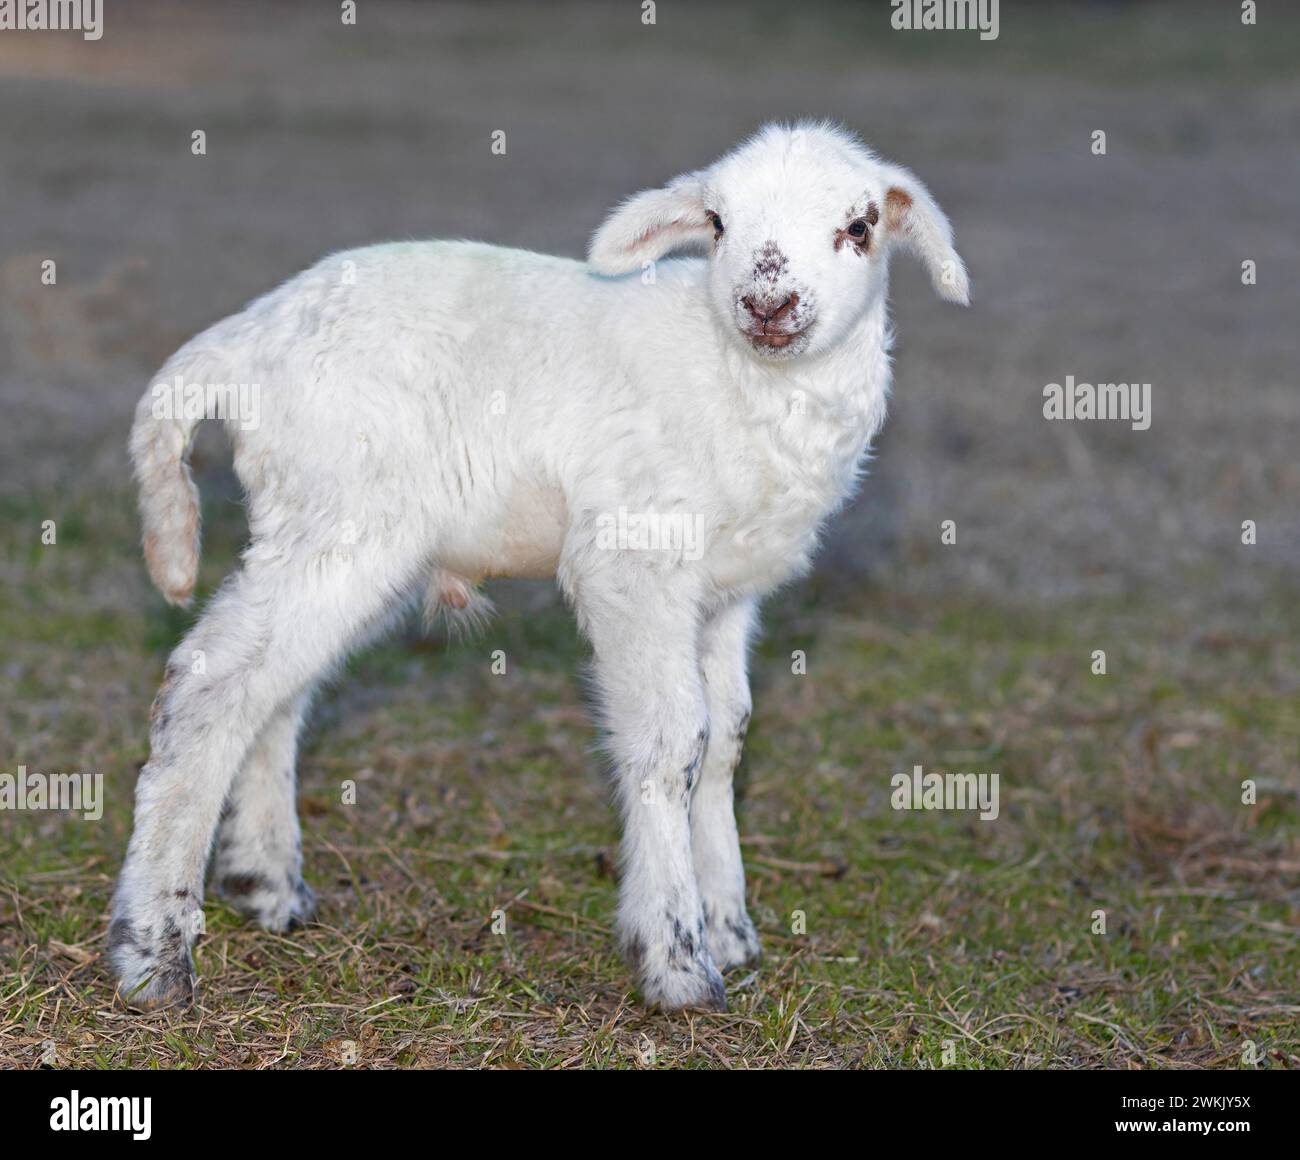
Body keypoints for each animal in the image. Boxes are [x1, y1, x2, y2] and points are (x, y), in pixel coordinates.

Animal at [108, 120, 969, 1013]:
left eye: (861, 226)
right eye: (718, 223)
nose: (767, 305)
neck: (739, 380)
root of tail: (241, 343)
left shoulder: (726, 594)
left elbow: (727, 737)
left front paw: (730, 929)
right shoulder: (632, 561)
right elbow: (673, 741)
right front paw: (678, 960)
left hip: (331, 528)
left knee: (272, 692)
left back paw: (266, 884)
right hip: (340, 516)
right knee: (209, 687)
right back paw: (156, 954)